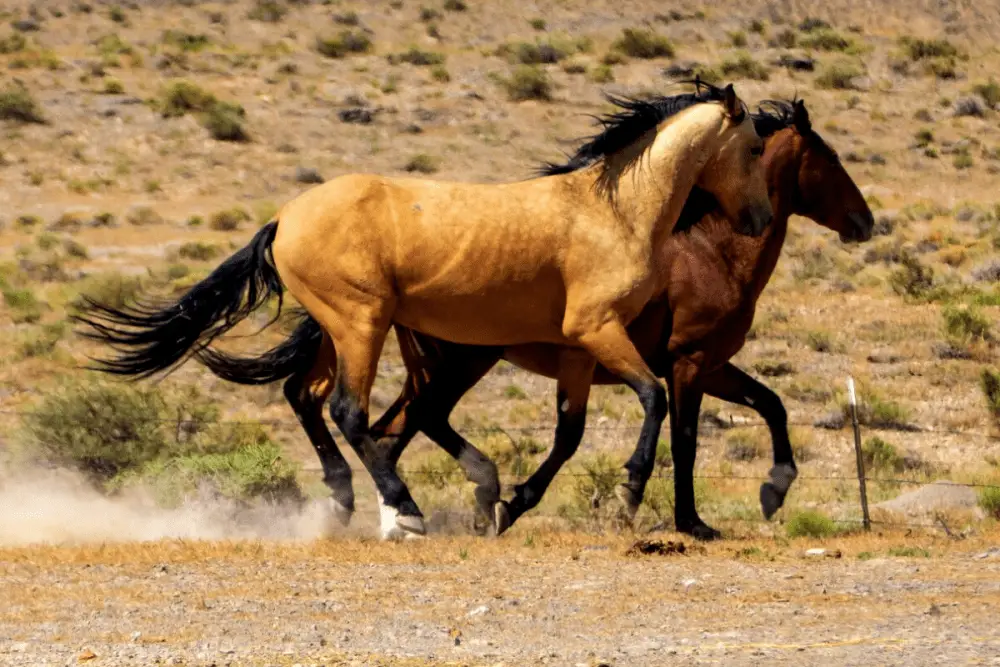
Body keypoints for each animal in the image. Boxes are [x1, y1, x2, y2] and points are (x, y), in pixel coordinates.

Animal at [75, 81, 774, 540]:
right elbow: (654, 398)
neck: (615, 209)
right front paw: (628, 493)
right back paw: (404, 509)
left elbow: (580, 427)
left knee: (308, 397)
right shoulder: (596, 330)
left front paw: (521, 501)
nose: (761, 219)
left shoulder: (580, 349)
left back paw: (348, 500)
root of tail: (284, 219)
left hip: (342, 329)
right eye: (754, 149)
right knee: (350, 411)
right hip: (363, 324)